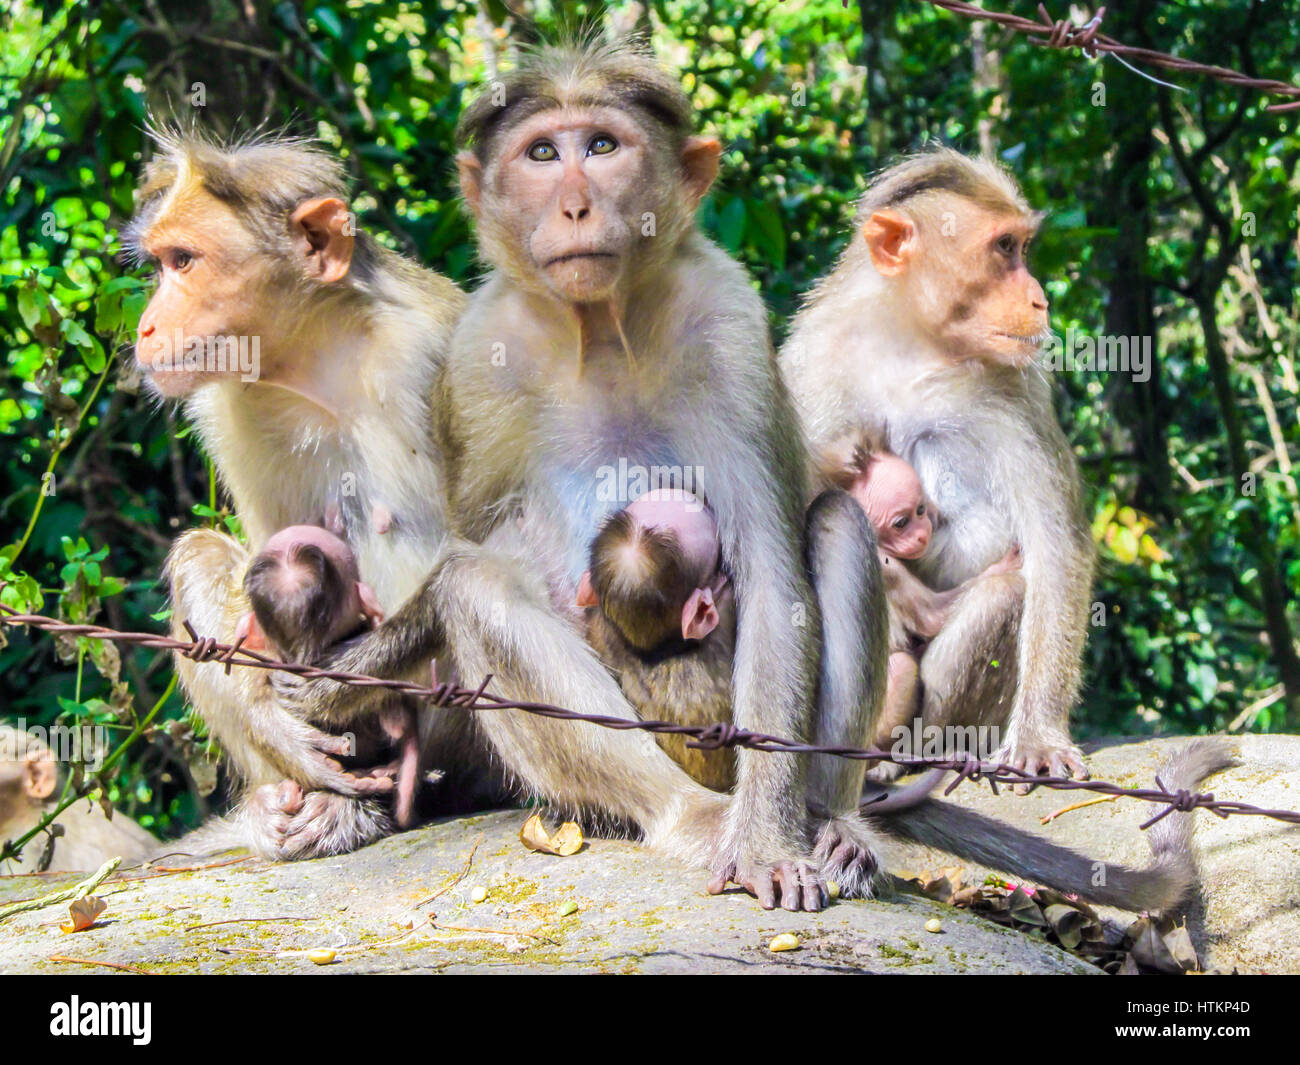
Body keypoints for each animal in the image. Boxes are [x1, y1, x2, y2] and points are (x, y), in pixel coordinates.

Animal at [781, 147, 1096, 787]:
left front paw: (1039, 735)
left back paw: (924, 750)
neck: (911, 345)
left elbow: (1055, 546)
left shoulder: (1014, 390)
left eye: (1021, 246)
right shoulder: (810, 369)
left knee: (1004, 596)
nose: (1041, 299)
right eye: (1004, 248)